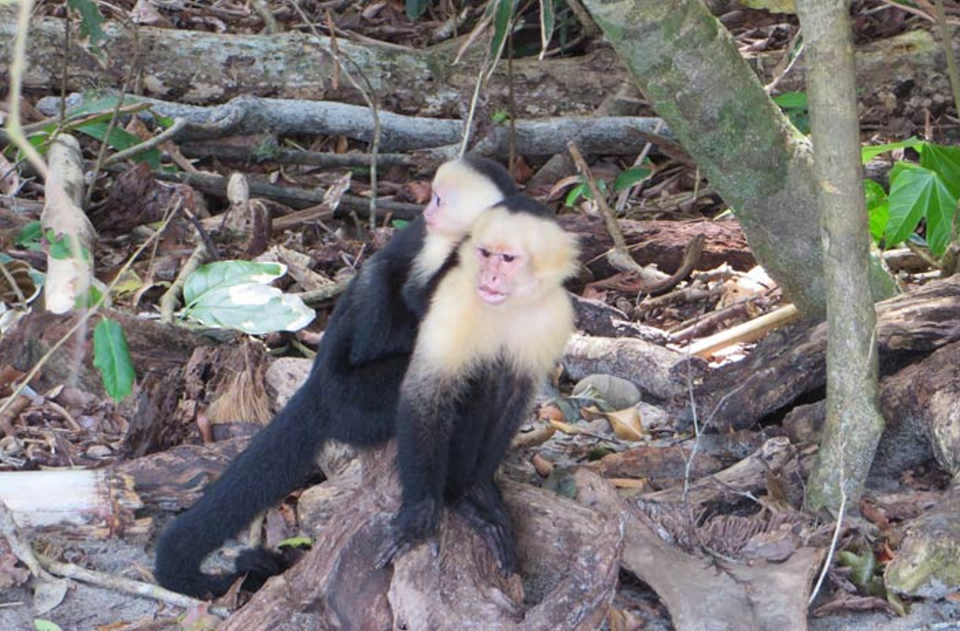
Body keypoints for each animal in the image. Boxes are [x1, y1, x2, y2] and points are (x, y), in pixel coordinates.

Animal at [154, 156, 518, 599]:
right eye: (434, 197)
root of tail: (318, 387)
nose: (427, 211)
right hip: (356, 398)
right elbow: (415, 300)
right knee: (383, 294)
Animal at [375, 195, 579, 573]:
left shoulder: (554, 315)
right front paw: (421, 512)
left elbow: (515, 397)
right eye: (485, 253)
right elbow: (428, 393)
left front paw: (478, 487)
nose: (490, 275)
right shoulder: (454, 298)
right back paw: (456, 497)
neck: (509, 306)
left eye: (508, 258)